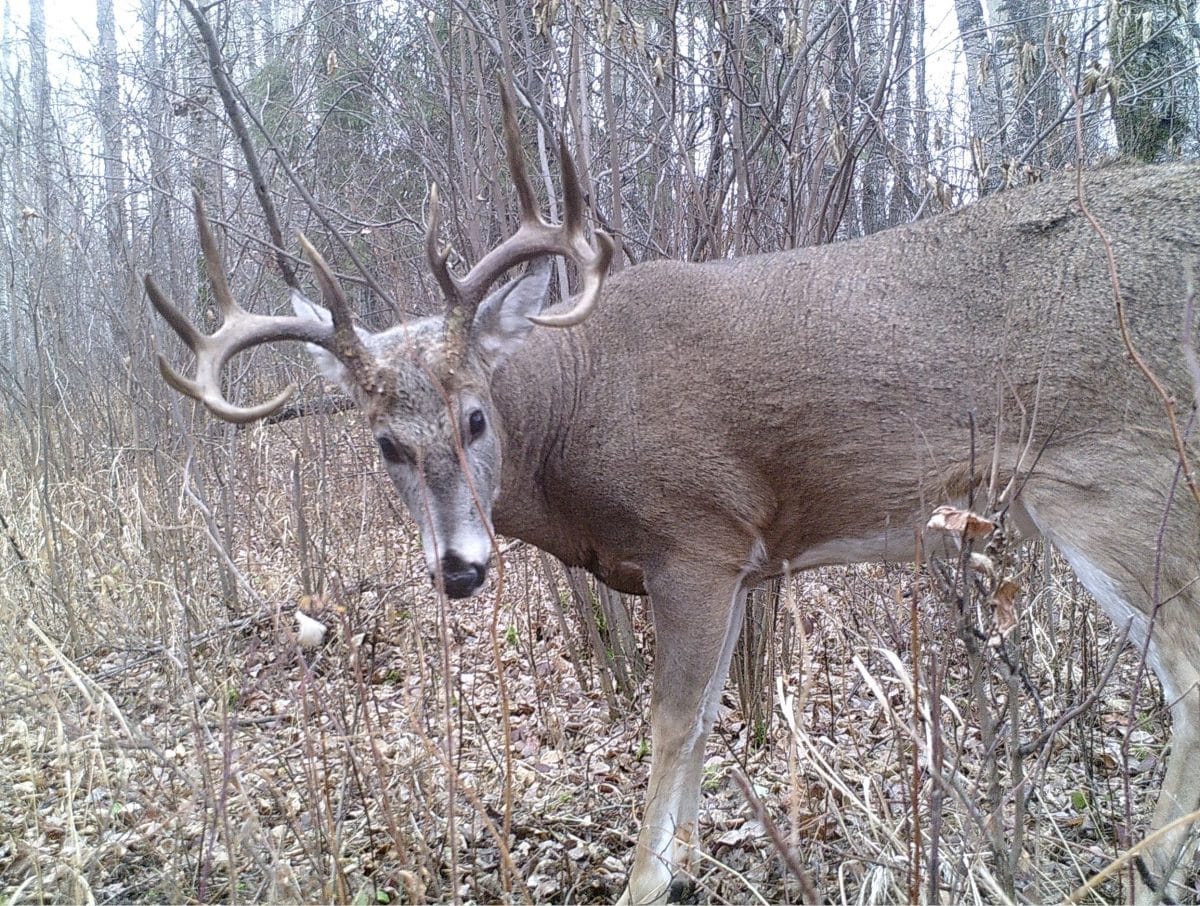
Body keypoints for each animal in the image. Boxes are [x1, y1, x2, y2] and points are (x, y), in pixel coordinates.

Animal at [145, 82, 1200, 903]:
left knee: (1188, 678)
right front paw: (688, 859)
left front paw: (646, 879)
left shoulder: (693, 536)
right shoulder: (736, 560)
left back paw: (1146, 873)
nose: (460, 568)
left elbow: (673, 717)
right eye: (384, 444)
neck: (576, 414)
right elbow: (707, 716)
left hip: (1120, 479)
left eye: (476, 417)